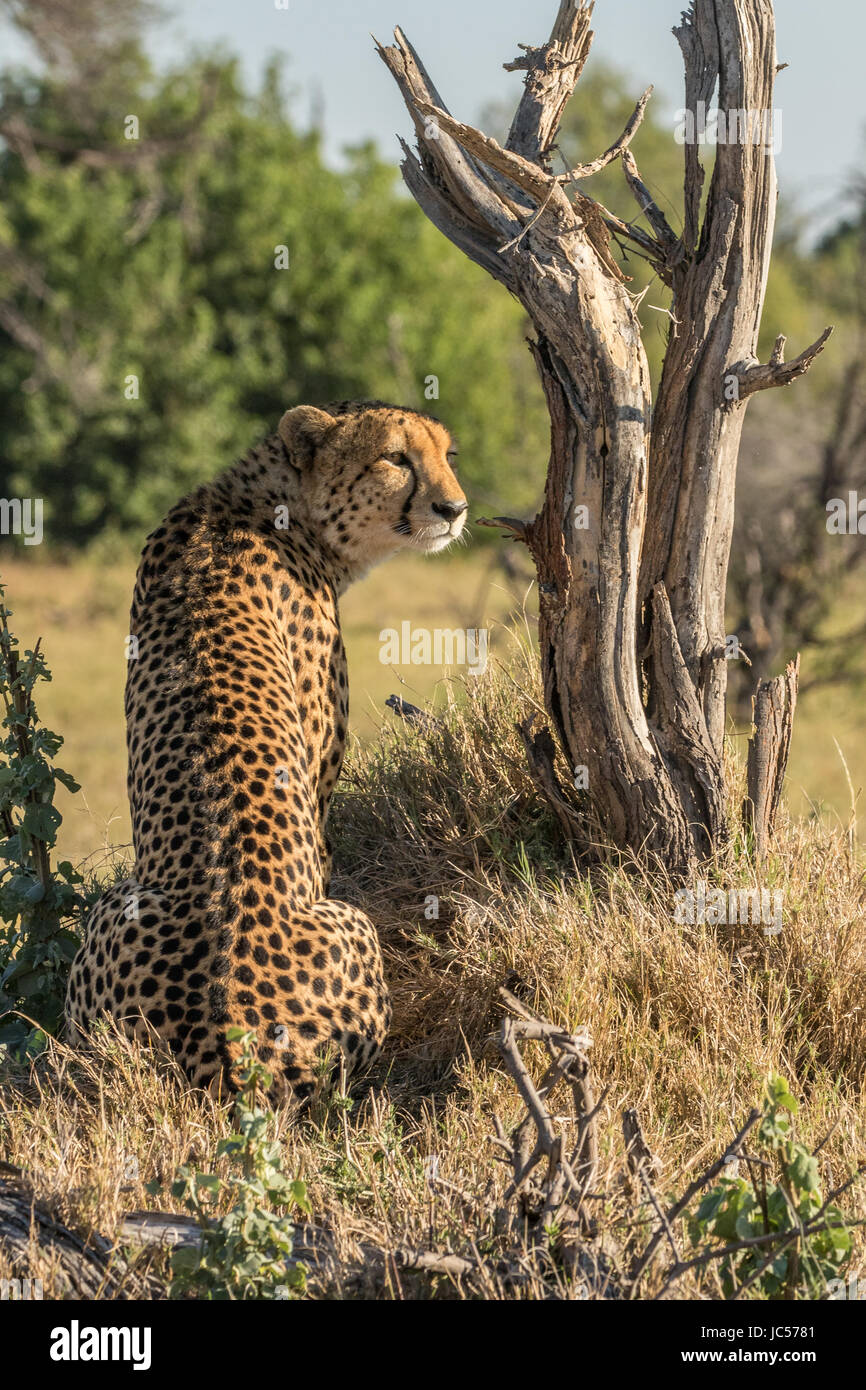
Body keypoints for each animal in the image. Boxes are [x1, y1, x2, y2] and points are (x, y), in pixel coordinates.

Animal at [65, 400, 467, 1102]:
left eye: (448, 454)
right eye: (396, 457)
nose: (455, 508)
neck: (267, 502)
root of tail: (227, 1046)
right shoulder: (319, 778)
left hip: (115, 913)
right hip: (352, 923)